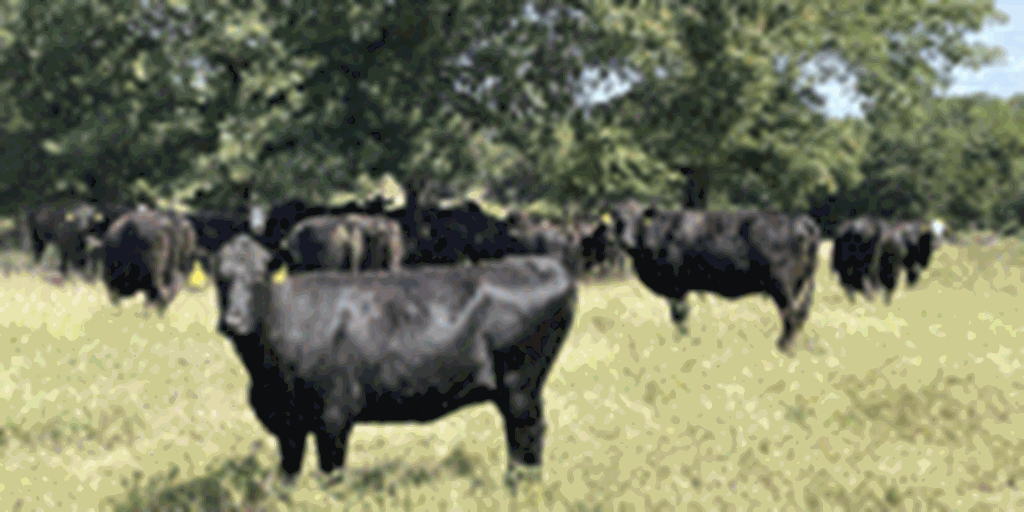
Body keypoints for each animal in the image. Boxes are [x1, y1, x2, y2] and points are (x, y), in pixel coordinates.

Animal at [212, 233, 577, 490]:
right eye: (220, 278)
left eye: (258, 277)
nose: (233, 321)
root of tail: (542, 265)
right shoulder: (287, 423)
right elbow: (289, 473)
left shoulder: (334, 414)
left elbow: (332, 474)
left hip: (520, 384)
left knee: (526, 432)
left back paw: (520, 487)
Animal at [610, 199, 821, 355]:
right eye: (618, 221)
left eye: (639, 220)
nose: (626, 242)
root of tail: (800, 220)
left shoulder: (676, 287)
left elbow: (679, 316)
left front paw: (681, 342)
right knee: (797, 316)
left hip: (782, 285)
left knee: (791, 316)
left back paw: (783, 349)